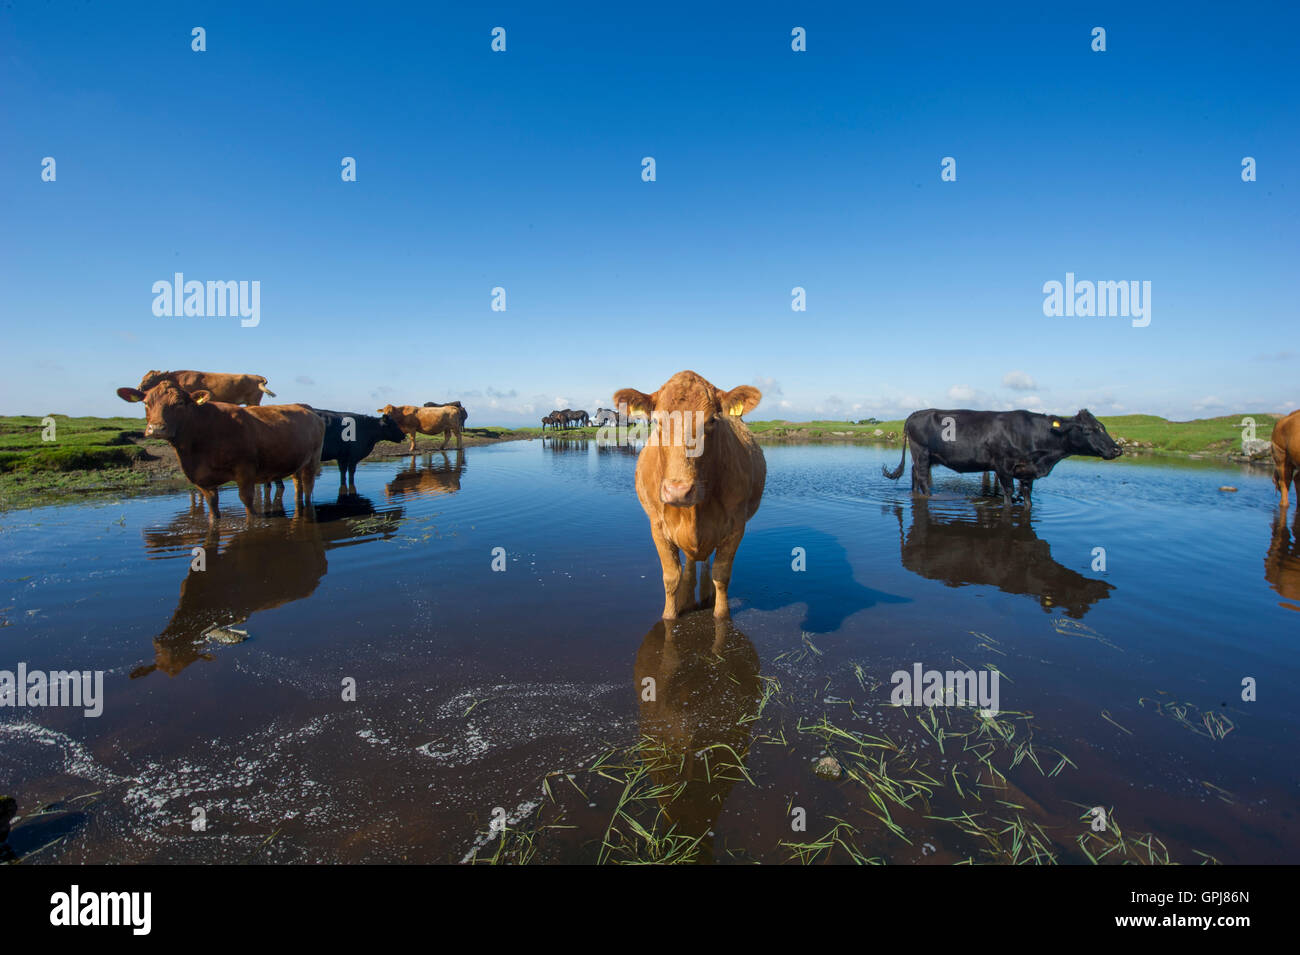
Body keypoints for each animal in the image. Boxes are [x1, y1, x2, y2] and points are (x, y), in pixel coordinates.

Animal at [117, 381, 323, 523]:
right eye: (146, 403)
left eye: (180, 403)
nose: (157, 428)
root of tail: (306, 407)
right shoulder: (202, 481)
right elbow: (212, 508)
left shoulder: (245, 469)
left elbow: (248, 502)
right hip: (296, 461)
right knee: (298, 485)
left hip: (312, 460)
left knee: (308, 488)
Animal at [614, 371, 765, 619]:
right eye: (657, 421)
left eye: (712, 420)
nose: (678, 491)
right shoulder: (657, 526)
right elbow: (671, 577)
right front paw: (670, 614)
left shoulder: (736, 526)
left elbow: (721, 575)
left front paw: (721, 614)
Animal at [883, 408, 1121, 508]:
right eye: (1088, 430)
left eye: (1102, 426)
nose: (1117, 450)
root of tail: (914, 414)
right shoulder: (1003, 467)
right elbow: (1008, 495)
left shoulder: (1027, 473)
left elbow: (1027, 498)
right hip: (922, 453)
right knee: (923, 478)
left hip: (925, 456)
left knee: (914, 474)